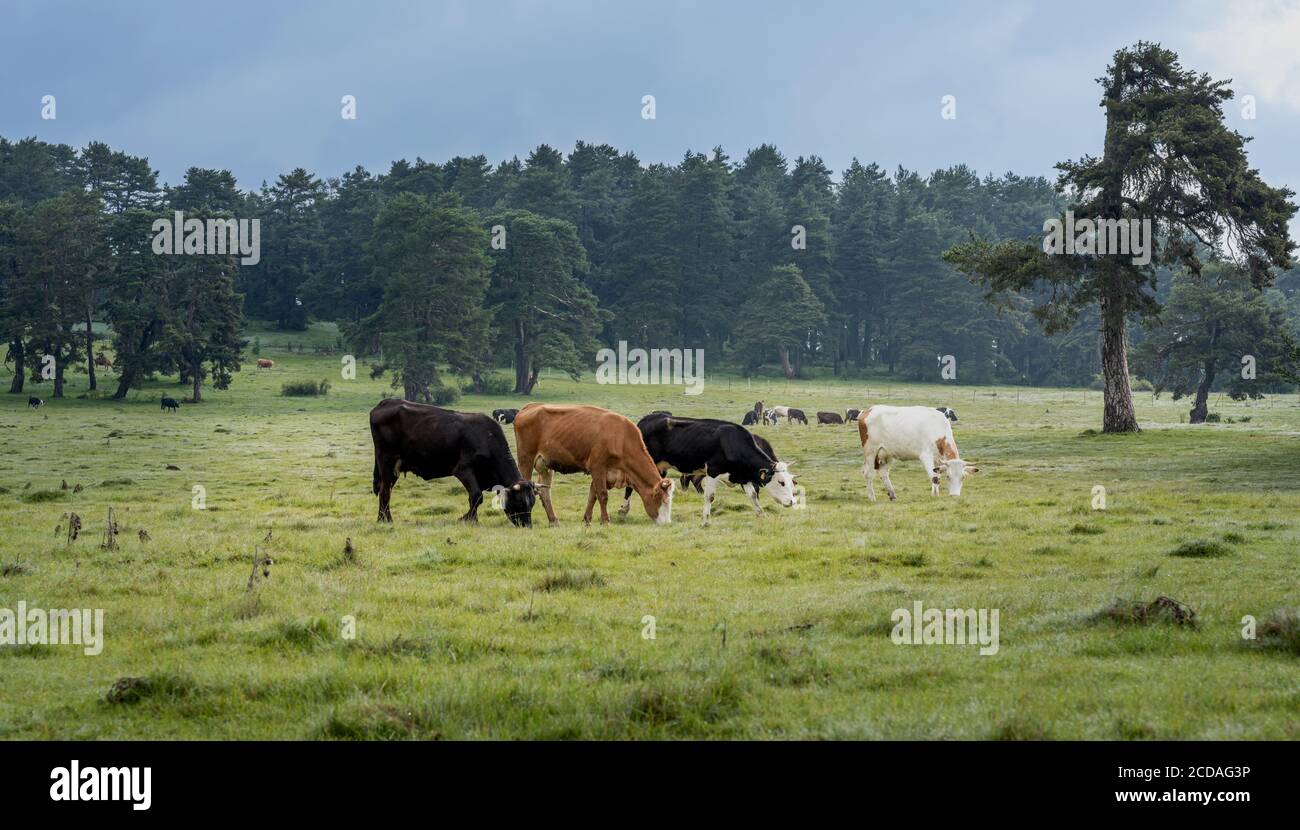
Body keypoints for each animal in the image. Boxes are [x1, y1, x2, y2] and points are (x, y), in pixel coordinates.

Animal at [369, 399, 537, 526]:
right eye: (520, 502)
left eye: (532, 503)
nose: (526, 525)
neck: (486, 438)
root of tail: (385, 403)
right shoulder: (463, 469)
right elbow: (476, 496)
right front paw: (467, 519)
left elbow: (474, 497)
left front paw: (472, 519)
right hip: (386, 460)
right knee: (384, 491)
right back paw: (385, 520)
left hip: (395, 467)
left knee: (387, 490)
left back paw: (383, 518)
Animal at [512, 403, 674, 525]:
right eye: (663, 501)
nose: (667, 523)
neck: (620, 438)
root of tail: (531, 406)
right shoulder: (598, 467)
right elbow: (602, 495)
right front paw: (606, 521)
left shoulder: (605, 474)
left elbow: (592, 495)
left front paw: (587, 520)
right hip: (525, 460)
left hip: (545, 466)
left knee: (545, 492)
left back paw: (553, 520)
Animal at [621, 414, 796, 525]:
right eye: (781, 482)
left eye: (791, 482)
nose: (791, 502)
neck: (732, 443)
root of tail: (646, 419)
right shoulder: (713, 471)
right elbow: (710, 496)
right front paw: (705, 520)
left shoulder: (741, 475)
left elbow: (753, 496)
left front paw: (761, 515)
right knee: (630, 485)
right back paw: (624, 510)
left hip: (661, 467)